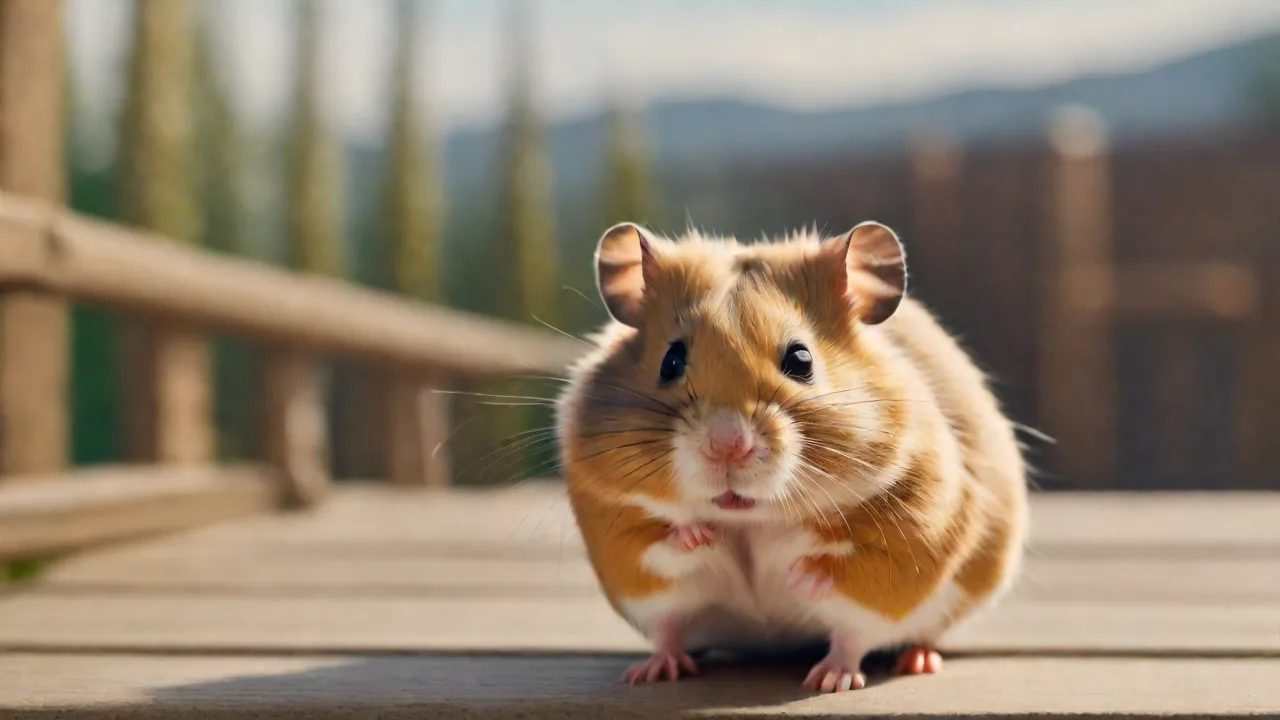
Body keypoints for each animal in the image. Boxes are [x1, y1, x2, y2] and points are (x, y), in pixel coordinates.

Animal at [554, 220, 1028, 694]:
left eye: (801, 360)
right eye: (671, 361)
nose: (727, 444)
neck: (749, 518)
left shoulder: (911, 533)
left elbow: (855, 581)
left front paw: (797, 574)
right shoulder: (618, 535)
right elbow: (656, 543)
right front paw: (700, 536)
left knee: (869, 642)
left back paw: (861, 673)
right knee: (669, 634)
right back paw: (651, 672)